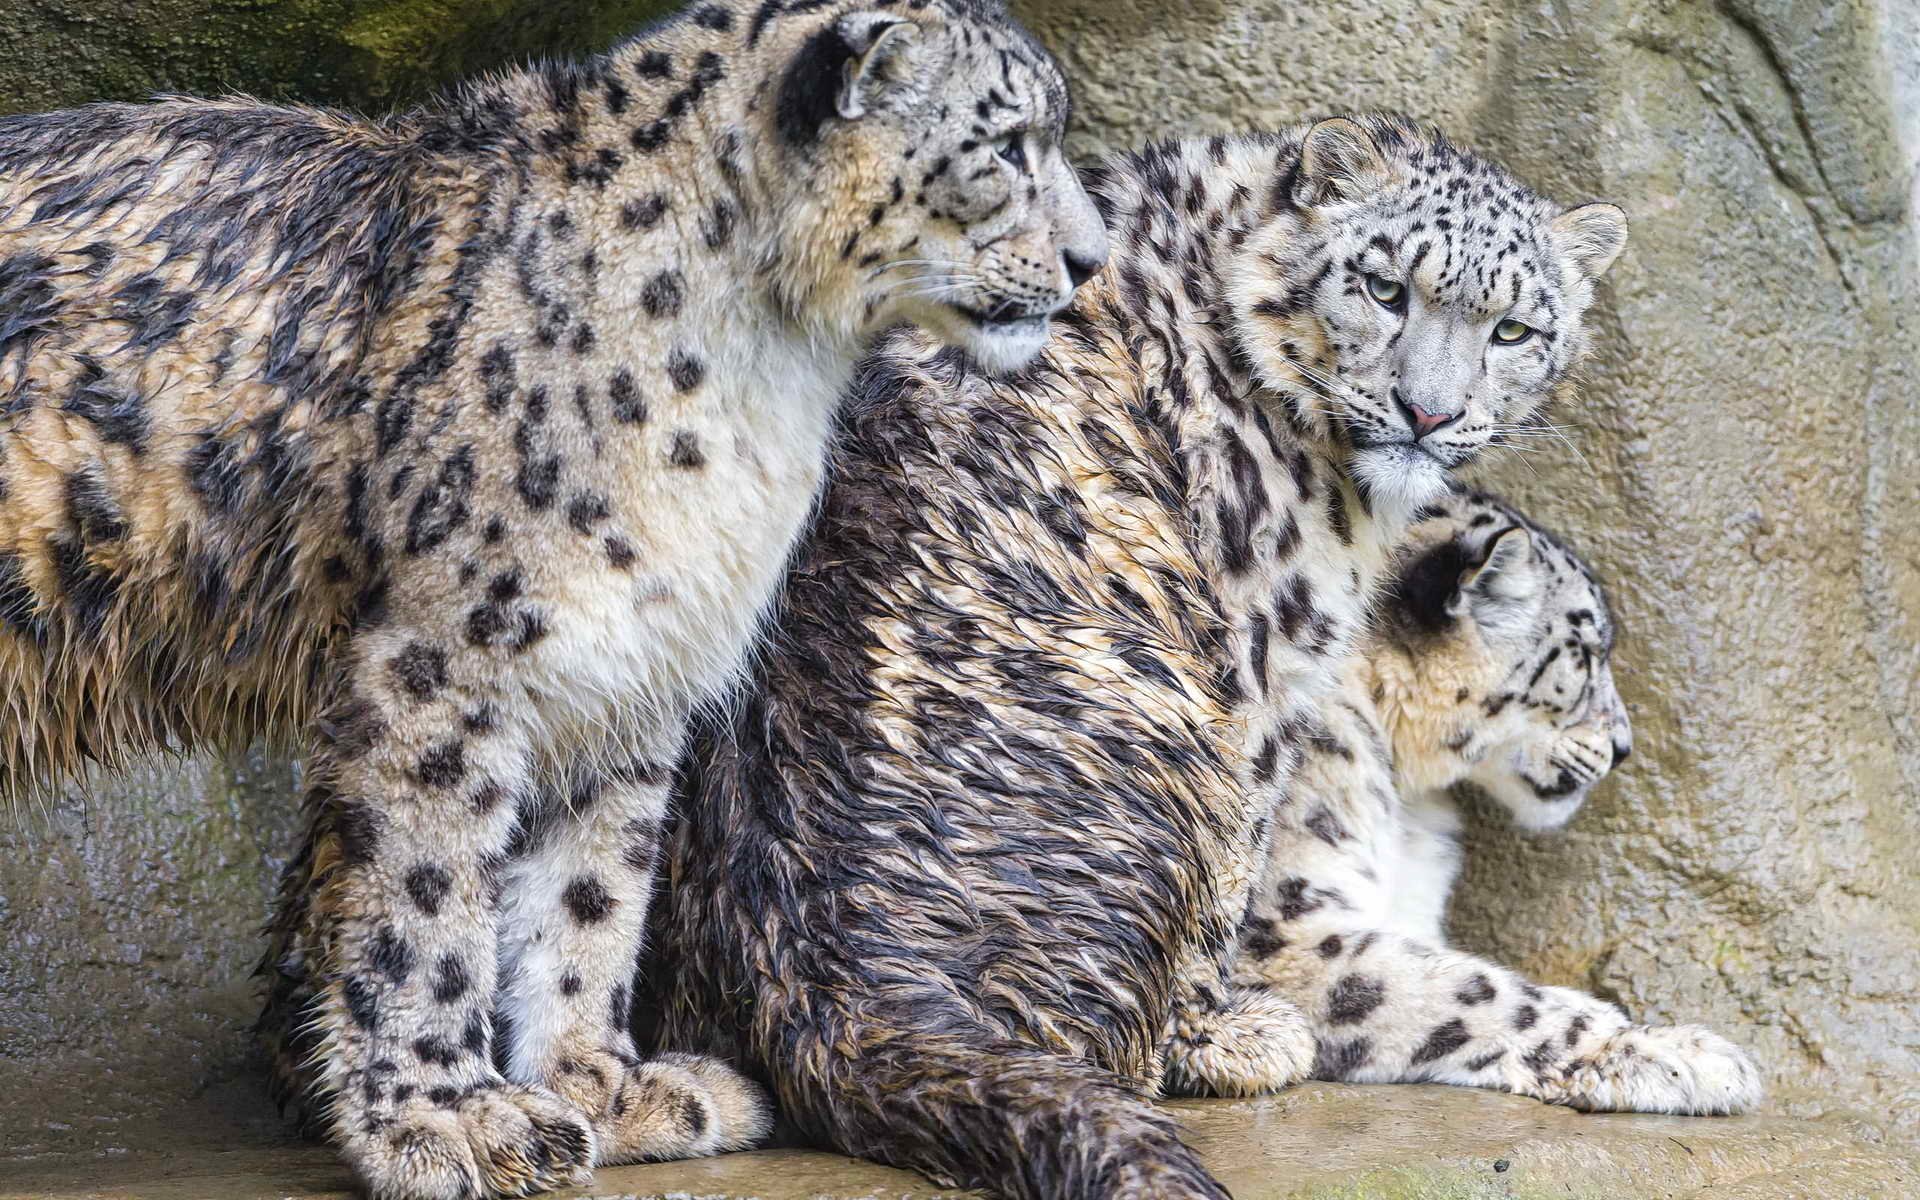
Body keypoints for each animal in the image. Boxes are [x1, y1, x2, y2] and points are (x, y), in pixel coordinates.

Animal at [0, 2, 1105, 1197]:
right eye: (1008, 145)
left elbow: (590, 890)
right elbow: (430, 891)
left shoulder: (636, 662)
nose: (1091, 259)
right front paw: (449, 1118)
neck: (761, 379)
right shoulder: (450, 653)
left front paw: (603, 1087)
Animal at [638, 113, 1631, 1200]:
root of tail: (828, 979)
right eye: (1383, 287)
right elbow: (1241, 866)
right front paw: (1221, 1033)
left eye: (1514, 332)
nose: (1428, 414)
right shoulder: (1262, 645)